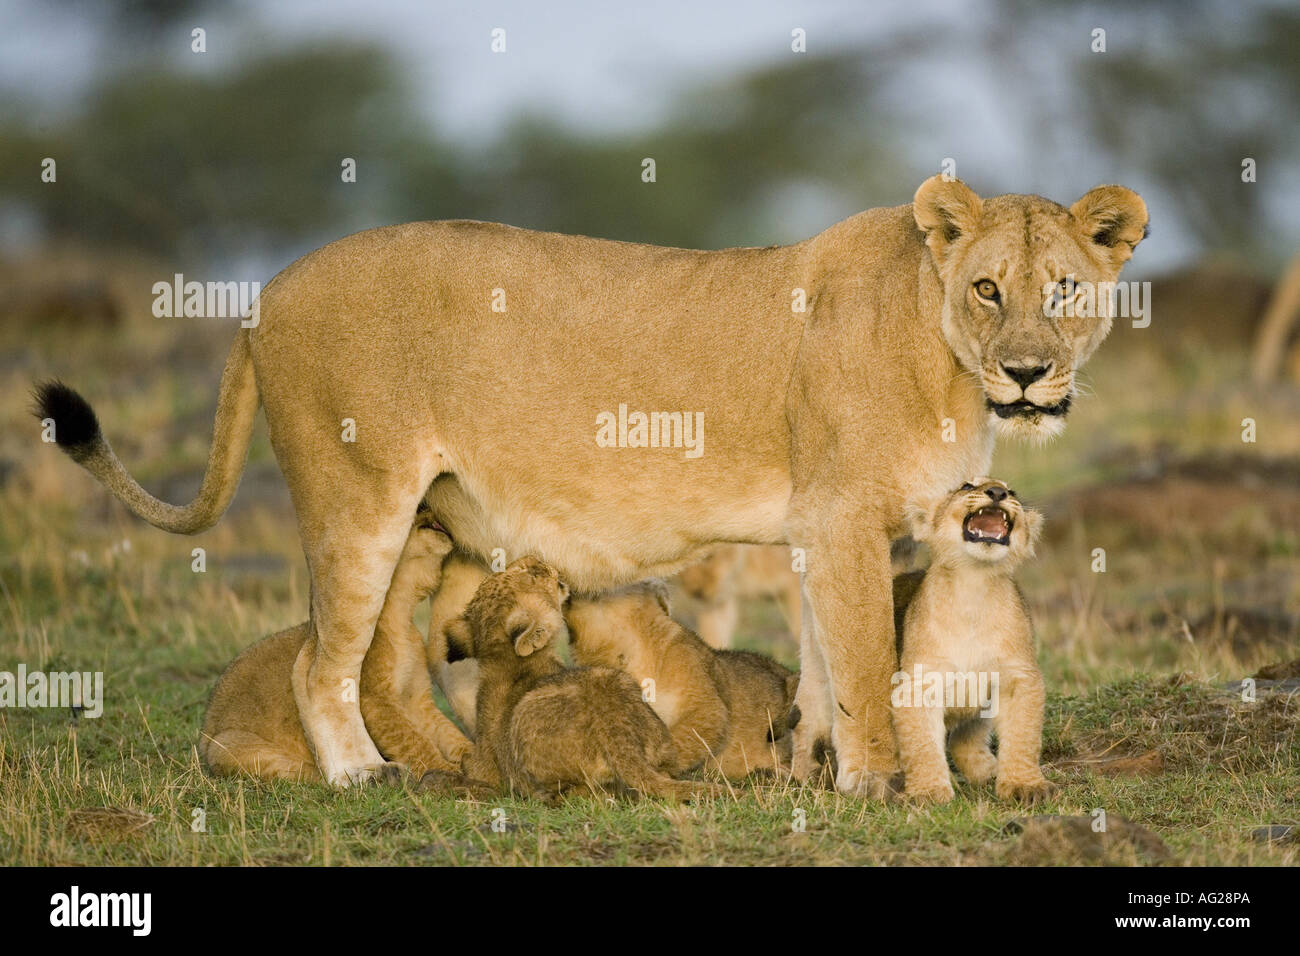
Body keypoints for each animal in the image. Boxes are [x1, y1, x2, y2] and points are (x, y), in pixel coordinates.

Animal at [200, 512, 470, 781]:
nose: (428, 508)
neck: (401, 614)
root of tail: (205, 732)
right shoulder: (374, 699)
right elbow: (413, 741)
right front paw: (448, 772)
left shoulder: (416, 699)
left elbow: (445, 731)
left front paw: (471, 755)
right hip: (229, 745)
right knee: (309, 774)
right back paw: (379, 773)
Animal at [891, 478, 1052, 804]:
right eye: (967, 486)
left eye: (1013, 493)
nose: (998, 493)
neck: (973, 583)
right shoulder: (918, 682)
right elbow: (920, 744)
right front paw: (928, 792)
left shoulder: (1018, 677)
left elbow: (1024, 736)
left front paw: (1025, 786)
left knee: (965, 740)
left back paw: (986, 769)